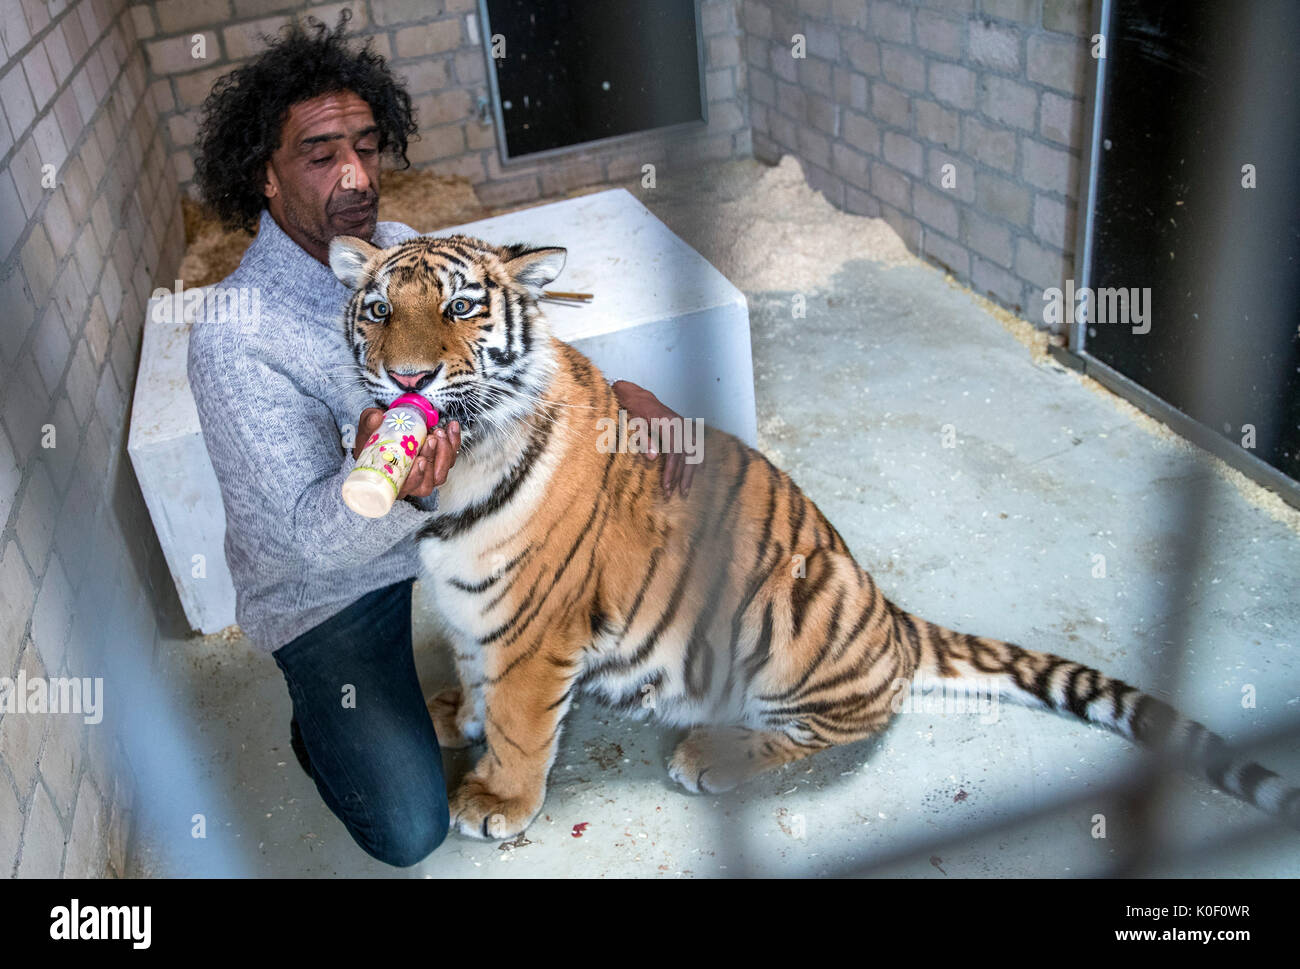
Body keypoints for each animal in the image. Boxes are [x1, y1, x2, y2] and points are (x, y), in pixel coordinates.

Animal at [328, 232, 1300, 842]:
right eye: (376, 310)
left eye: (460, 307)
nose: (406, 379)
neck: (455, 470)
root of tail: (892, 612)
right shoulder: (473, 608)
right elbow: (475, 676)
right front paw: (457, 714)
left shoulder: (537, 628)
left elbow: (523, 720)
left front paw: (497, 798)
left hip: (793, 619)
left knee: (848, 718)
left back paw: (711, 755)